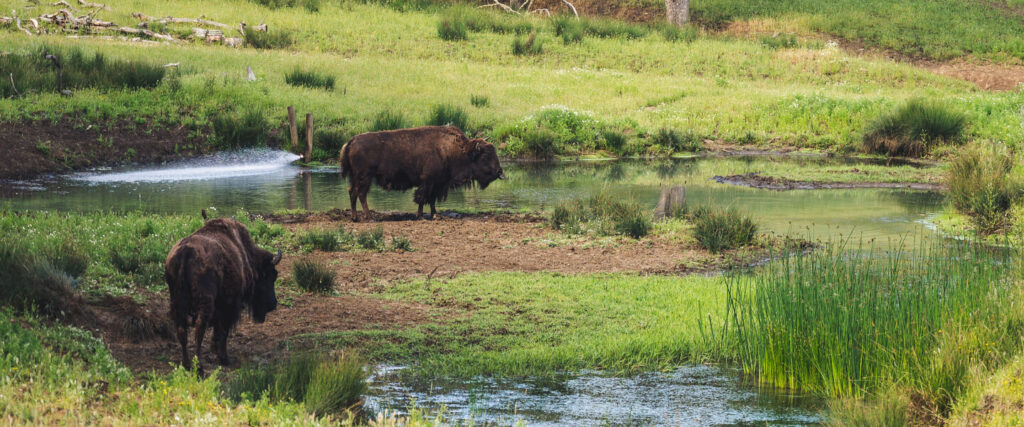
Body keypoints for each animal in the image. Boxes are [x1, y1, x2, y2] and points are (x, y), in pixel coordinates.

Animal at [164, 216, 281, 373]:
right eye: (271, 275)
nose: (273, 304)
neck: (245, 256)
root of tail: (185, 252)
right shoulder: (230, 305)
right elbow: (224, 330)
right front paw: (224, 358)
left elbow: (217, 329)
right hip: (205, 302)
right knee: (199, 330)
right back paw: (199, 368)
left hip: (177, 301)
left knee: (182, 330)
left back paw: (186, 365)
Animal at [339, 126, 505, 220]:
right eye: (485, 156)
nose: (499, 171)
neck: (453, 149)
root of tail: (351, 141)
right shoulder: (429, 181)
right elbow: (422, 198)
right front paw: (421, 216)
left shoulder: (437, 183)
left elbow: (431, 200)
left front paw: (434, 214)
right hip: (365, 177)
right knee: (361, 194)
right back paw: (368, 217)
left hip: (356, 178)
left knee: (352, 192)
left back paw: (355, 217)